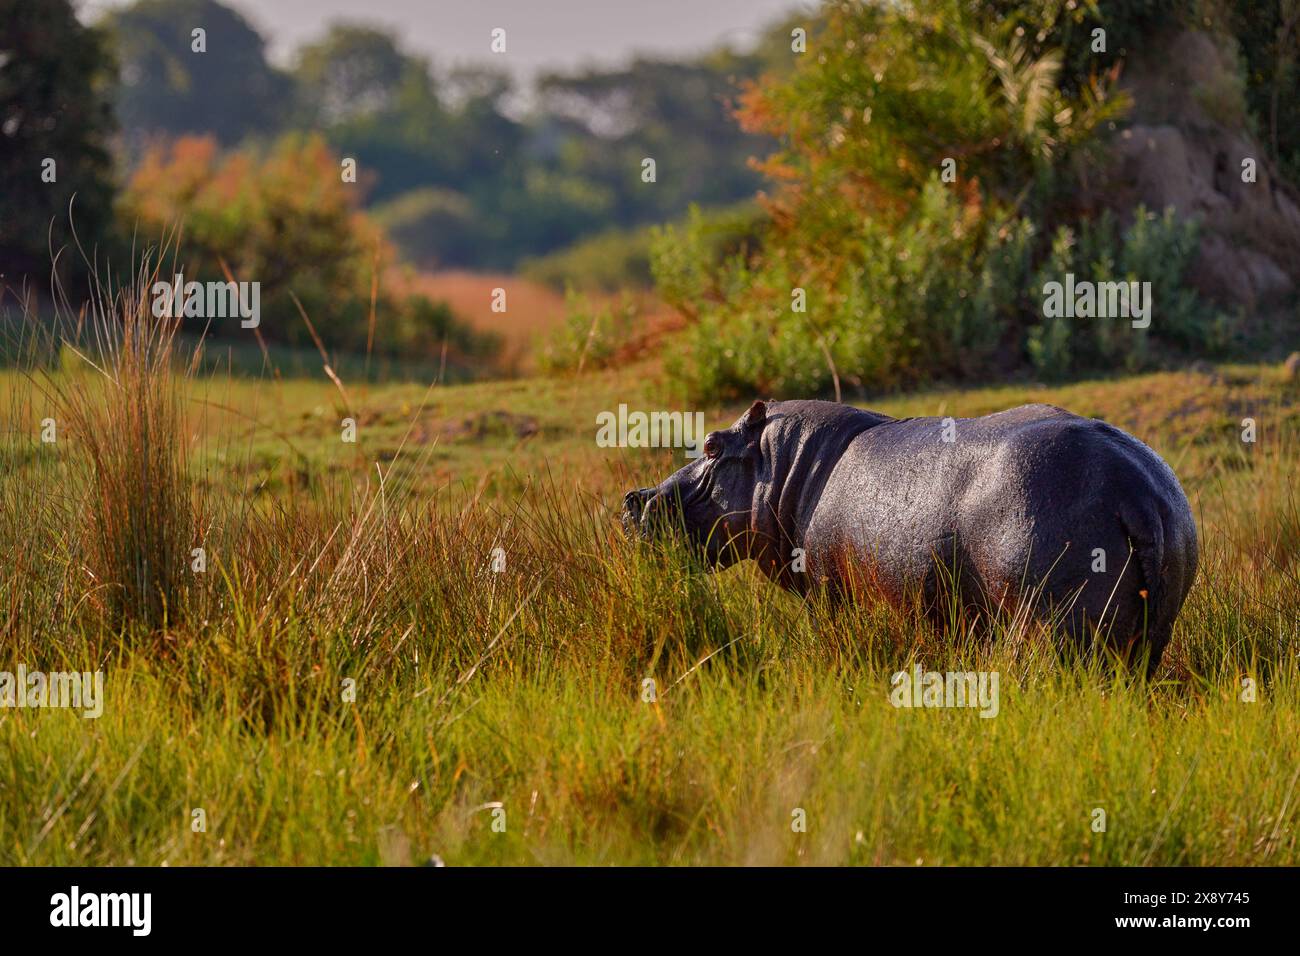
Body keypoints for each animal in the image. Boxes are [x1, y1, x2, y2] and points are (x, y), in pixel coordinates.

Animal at [622, 400, 1198, 674]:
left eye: (713, 445)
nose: (633, 498)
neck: (787, 466)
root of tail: (1136, 490)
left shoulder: (830, 595)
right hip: (1155, 628)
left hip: (1053, 625)